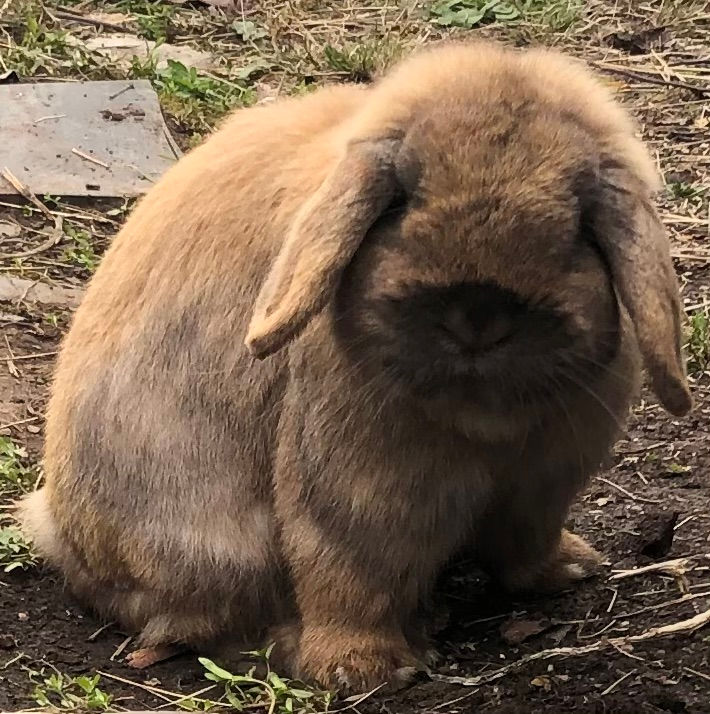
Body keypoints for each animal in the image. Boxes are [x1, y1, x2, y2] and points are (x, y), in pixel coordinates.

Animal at [18, 40, 691, 693]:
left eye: (578, 217)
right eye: (404, 196)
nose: (478, 317)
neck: (482, 410)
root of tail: (62, 534)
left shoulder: (544, 483)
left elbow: (526, 544)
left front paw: (573, 568)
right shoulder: (362, 488)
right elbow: (351, 572)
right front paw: (367, 669)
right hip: (218, 554)